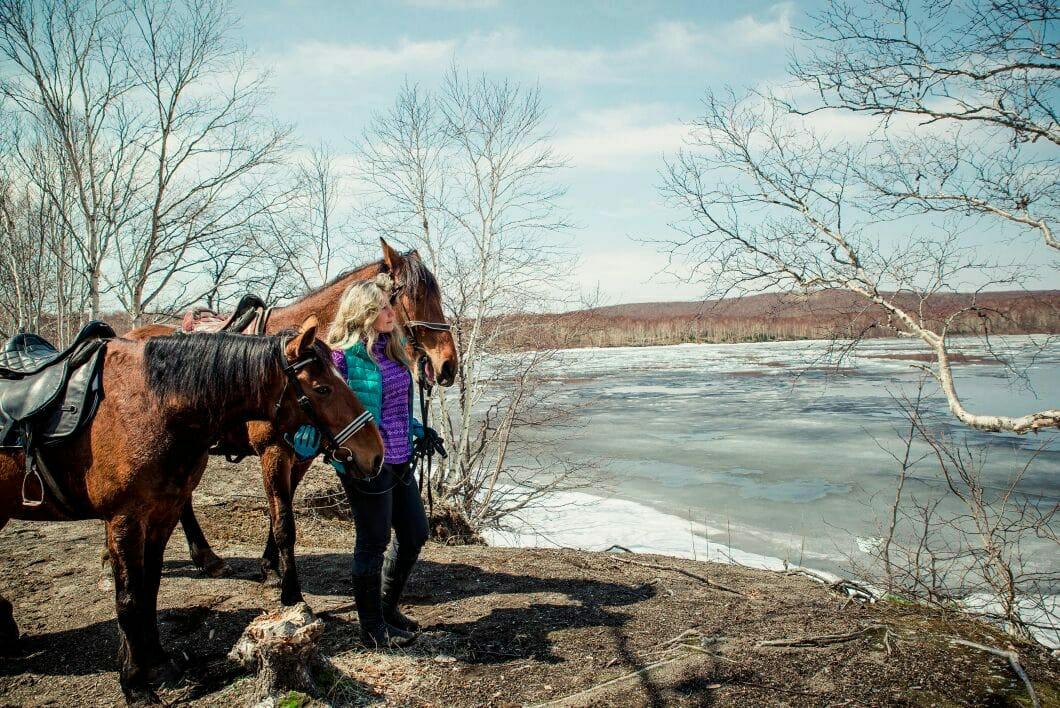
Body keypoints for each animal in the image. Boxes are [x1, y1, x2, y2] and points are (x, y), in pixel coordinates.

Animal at [0, 320, 381, 703]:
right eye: (322, 388)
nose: (375, 453)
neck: (150, 406)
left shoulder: (161, 515)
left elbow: (149, 588)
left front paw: (157, 663)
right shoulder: (126, 518)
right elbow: (129, 598)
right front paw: (135, 682)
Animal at [126, 239, 457, 602]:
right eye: (415, 297)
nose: (448, 365)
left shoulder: (302, 455)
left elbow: (280, 514)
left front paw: (271, 568)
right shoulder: (273, 452)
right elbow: (284, 521)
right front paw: (288, 588)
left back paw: (207, 558)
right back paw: (203, 556)